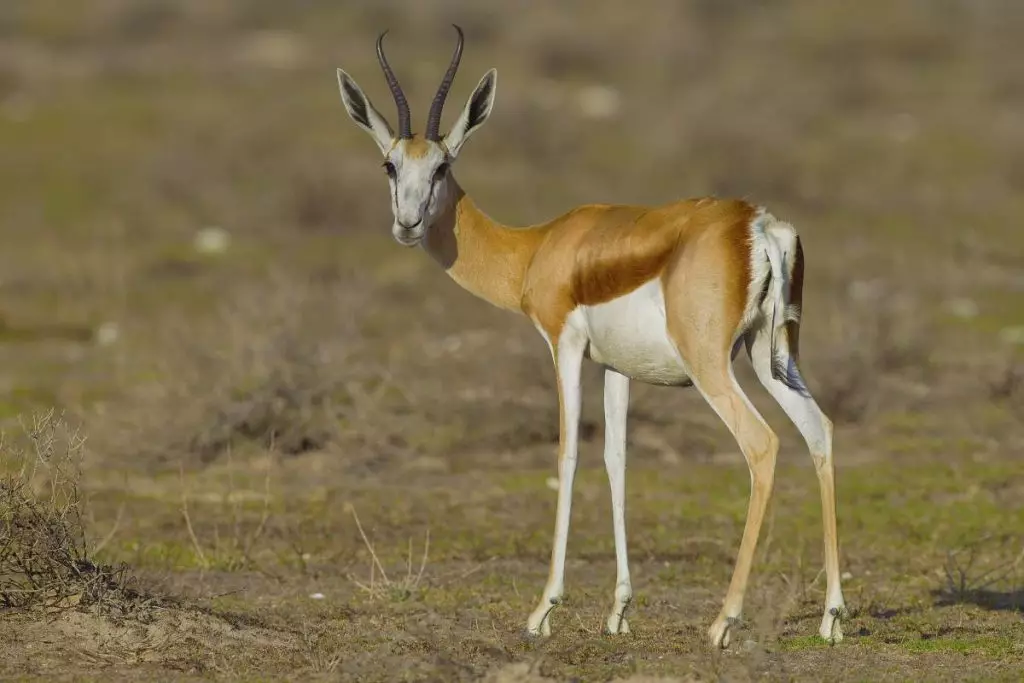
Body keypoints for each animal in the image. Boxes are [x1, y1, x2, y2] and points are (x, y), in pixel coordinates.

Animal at [335, 25, 847, 647]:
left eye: (439, 166)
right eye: (390, 165)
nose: (407, 224)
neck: (536, 249)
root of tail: (758, 225)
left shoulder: (565, 346)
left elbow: (568, 455)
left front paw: (543, 610)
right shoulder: (616, 367)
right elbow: (616, 459)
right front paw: (618, 611)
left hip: (712, 365)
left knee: (763, 443)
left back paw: (723, 621)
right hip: (771, 357)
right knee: (819, 430)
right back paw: (832, 617)